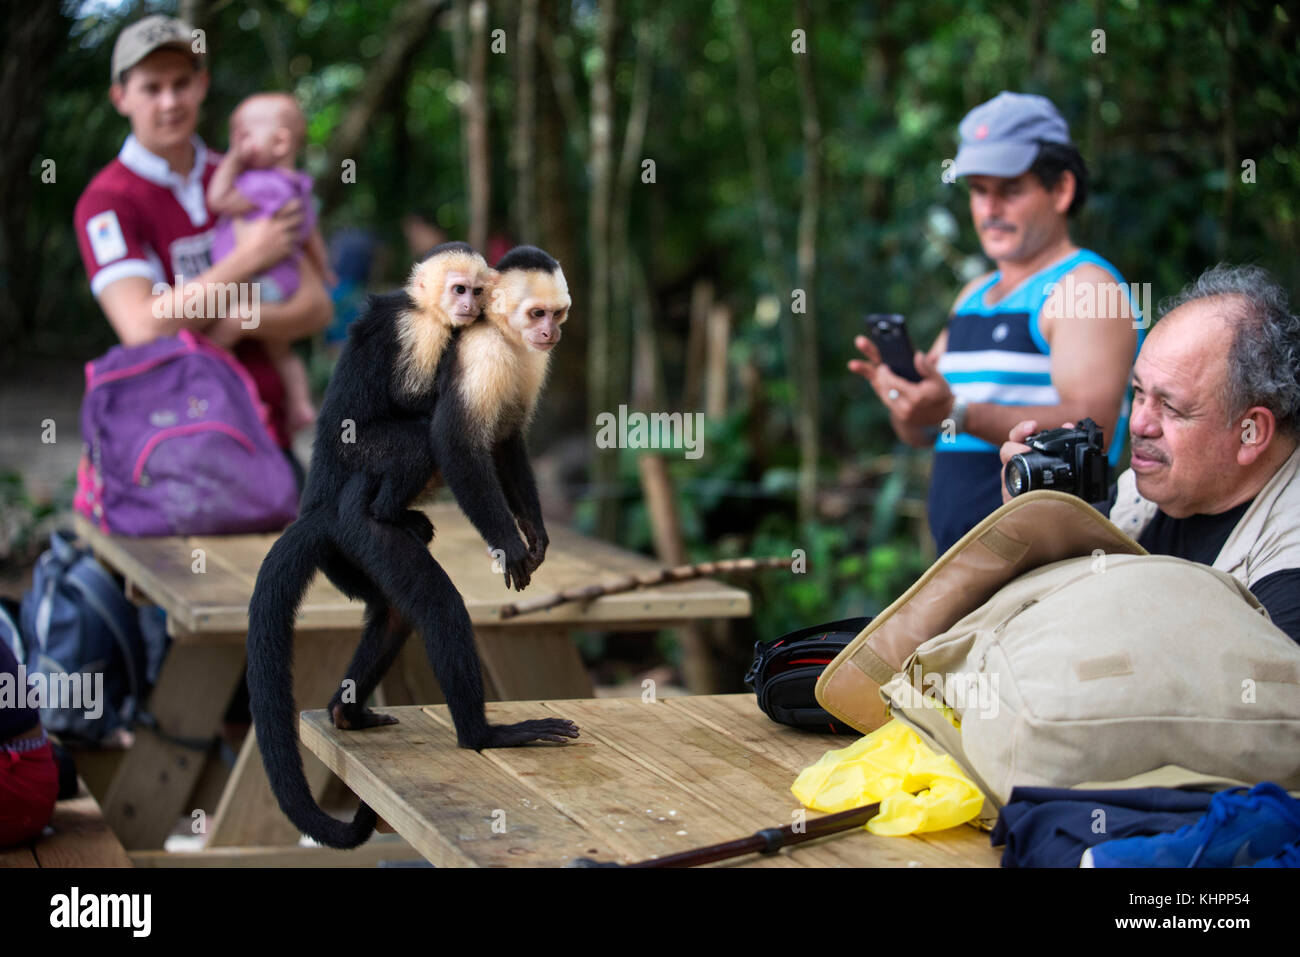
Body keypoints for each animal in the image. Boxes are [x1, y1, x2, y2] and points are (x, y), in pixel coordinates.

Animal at [245, 243, 578, 849]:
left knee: (396, 612)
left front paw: (535, 536)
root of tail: (323, 509)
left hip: (349, 558)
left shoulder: (528, 363)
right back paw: (483, 735)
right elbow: (455, 441)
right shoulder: (480, 353)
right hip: (360, 531)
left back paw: (347, 713)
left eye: (557, 313)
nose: (552, 333)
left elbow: (505, 441)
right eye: (536, 314)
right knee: (435, 595)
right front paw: (508, 545)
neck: (503, 334)